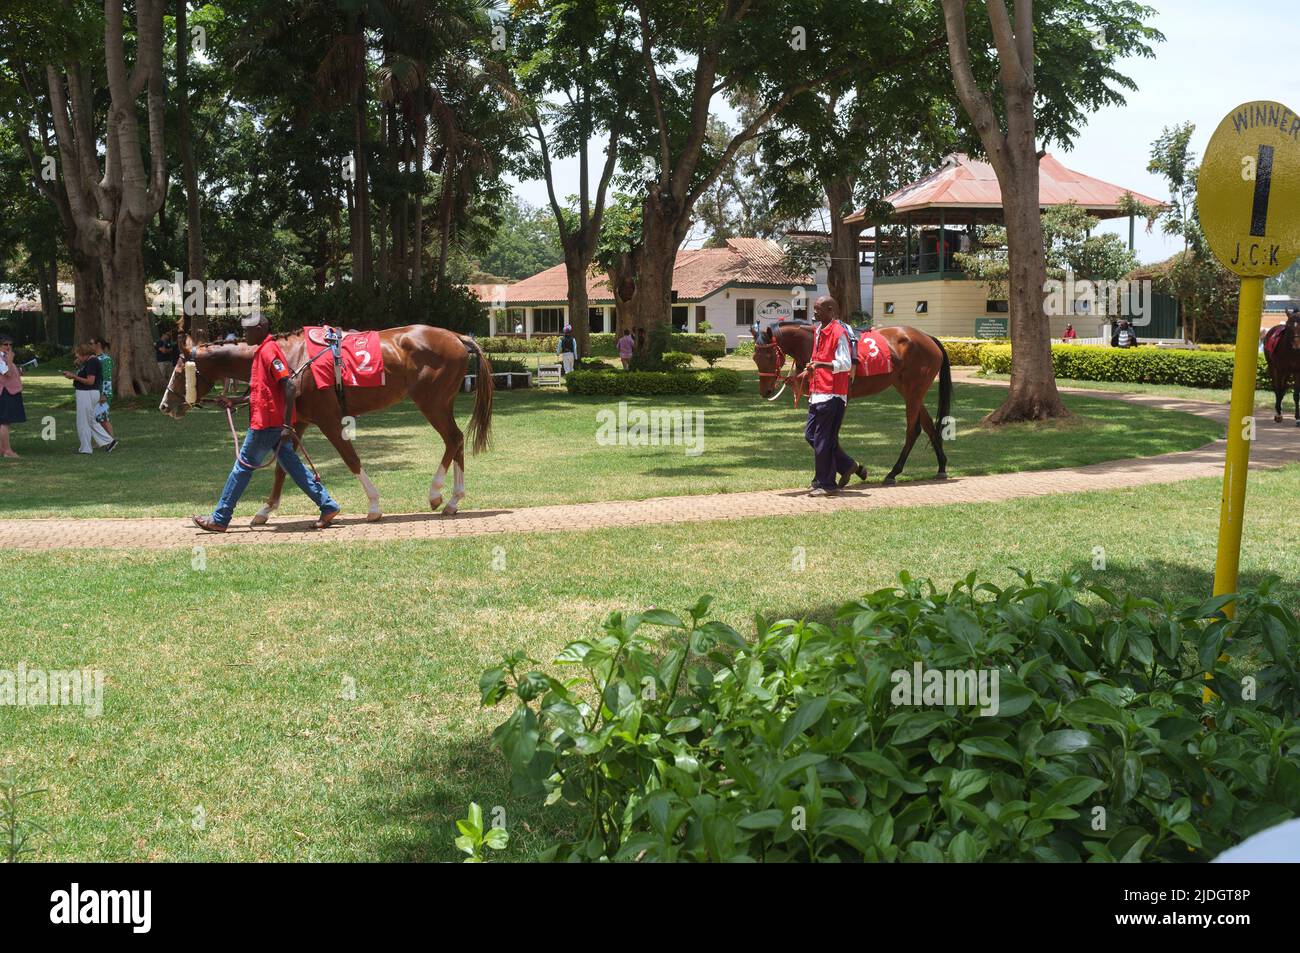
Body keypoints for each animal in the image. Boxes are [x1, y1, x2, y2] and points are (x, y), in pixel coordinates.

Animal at [159, 324, 493, 521]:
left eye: (180, 371)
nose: (165, 405)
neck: (290, 358)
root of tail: (457, 337)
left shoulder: (328, 419)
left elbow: (351, 459)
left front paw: (373, 506)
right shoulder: (297, 423)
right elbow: (283, 468)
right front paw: (265, 509)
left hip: (431, 402)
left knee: (452, 439)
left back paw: (437, 494)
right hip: (440, 403)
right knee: (456, 440)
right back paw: (452, 500)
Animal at [750, 321, 951, 484]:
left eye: (770, 356)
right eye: (754, 358)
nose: (765, 391)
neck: (811, 344)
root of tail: (928, 337)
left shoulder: (840, 398)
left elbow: (830, 436)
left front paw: (845, 471)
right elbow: (816, 435)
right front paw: (851, 470)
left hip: (915, 390)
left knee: (913, 430)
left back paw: (893, 473)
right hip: (907, 389)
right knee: (928, 426)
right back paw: (941, 466)